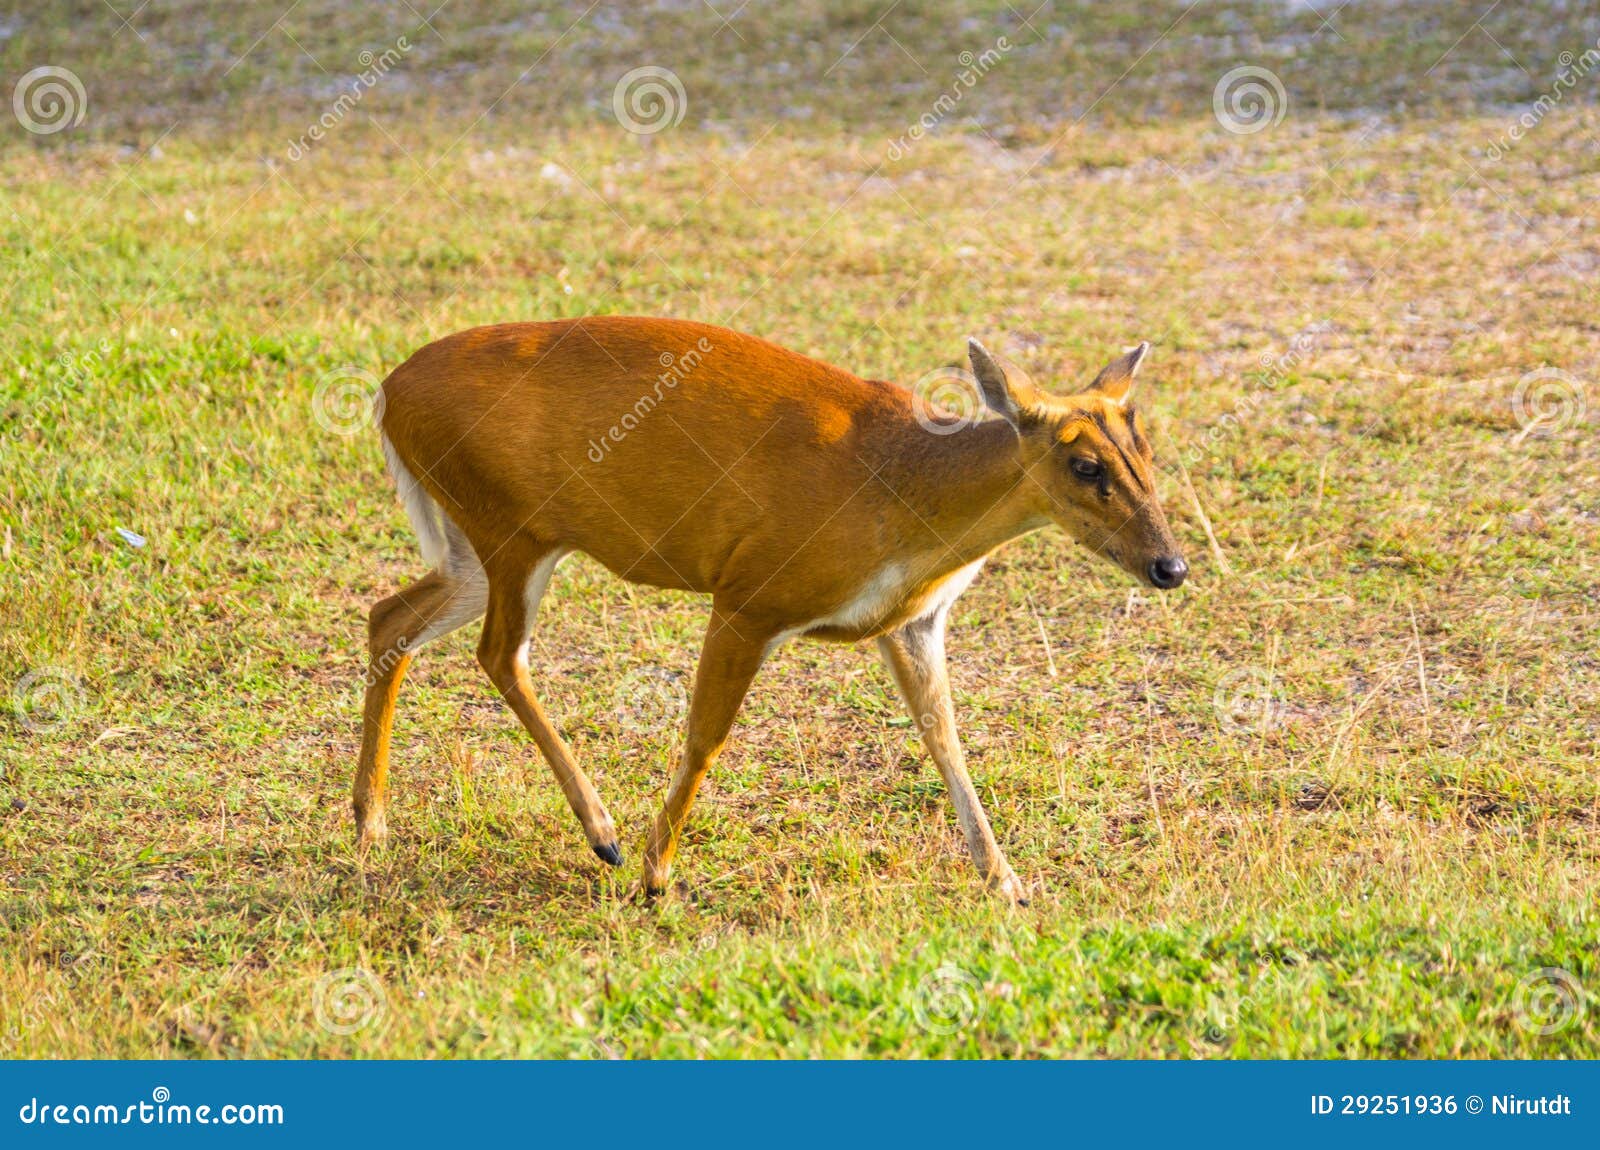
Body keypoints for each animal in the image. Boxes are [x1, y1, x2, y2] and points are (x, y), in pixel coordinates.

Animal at [354, 317, 1187, 903]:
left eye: (1148, 453)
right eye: (1085, 464)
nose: (1170, 565)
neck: (905, 491)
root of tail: (388, 394)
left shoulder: (912, 622)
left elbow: (945, 738)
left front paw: (1007, 883)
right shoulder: (750, 593)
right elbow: (705, 737)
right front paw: (656, 875)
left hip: (473, 543)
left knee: (389, 618)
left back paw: (371, 823)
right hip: (513, 529)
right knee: (498, 653)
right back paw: (604, 834)